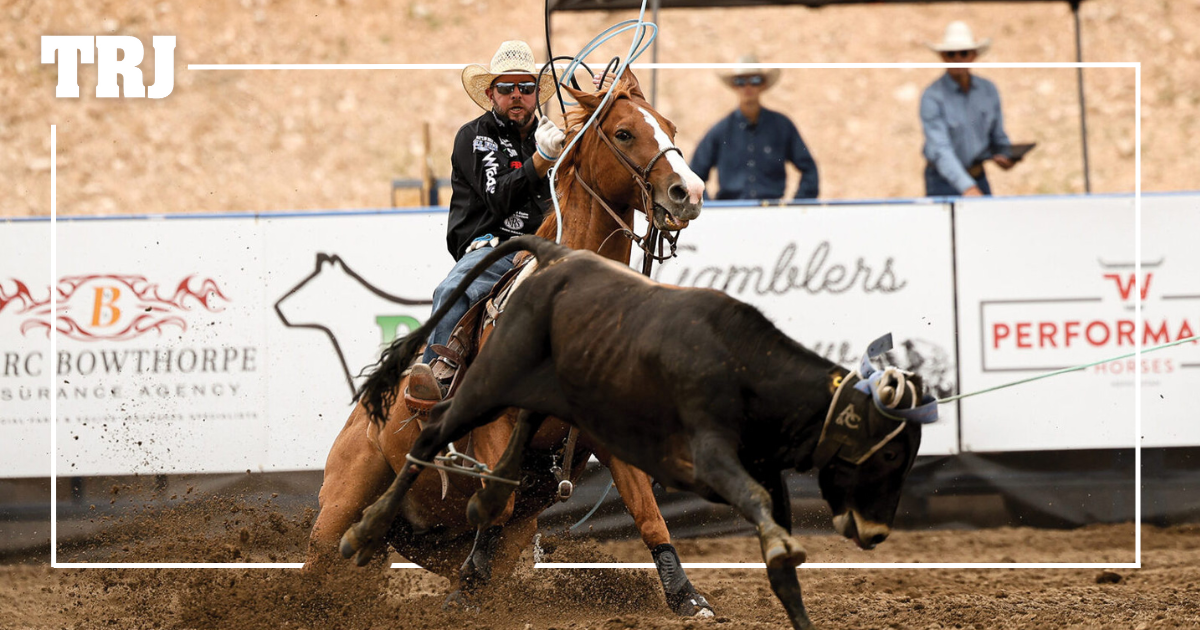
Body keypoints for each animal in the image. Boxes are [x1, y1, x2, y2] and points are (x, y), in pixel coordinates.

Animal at [306, 72, 714, 616]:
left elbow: (649, 513)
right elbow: (498, 502)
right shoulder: (495, 428)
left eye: (669, 127)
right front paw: (466, 592)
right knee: (320, 559)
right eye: (624, 133)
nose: (689, 191)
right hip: (342, 498)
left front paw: (686, 596)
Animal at [342, 235, 939, 630]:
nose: (876, 532)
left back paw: (484, 504)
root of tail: (552, 258)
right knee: (431, 435)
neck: (741, 367)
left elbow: (772, 559)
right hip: (489, 386)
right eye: (889, 458)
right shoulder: (711, 460)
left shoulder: (767, 476)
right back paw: (363, 533)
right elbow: (758, 519)